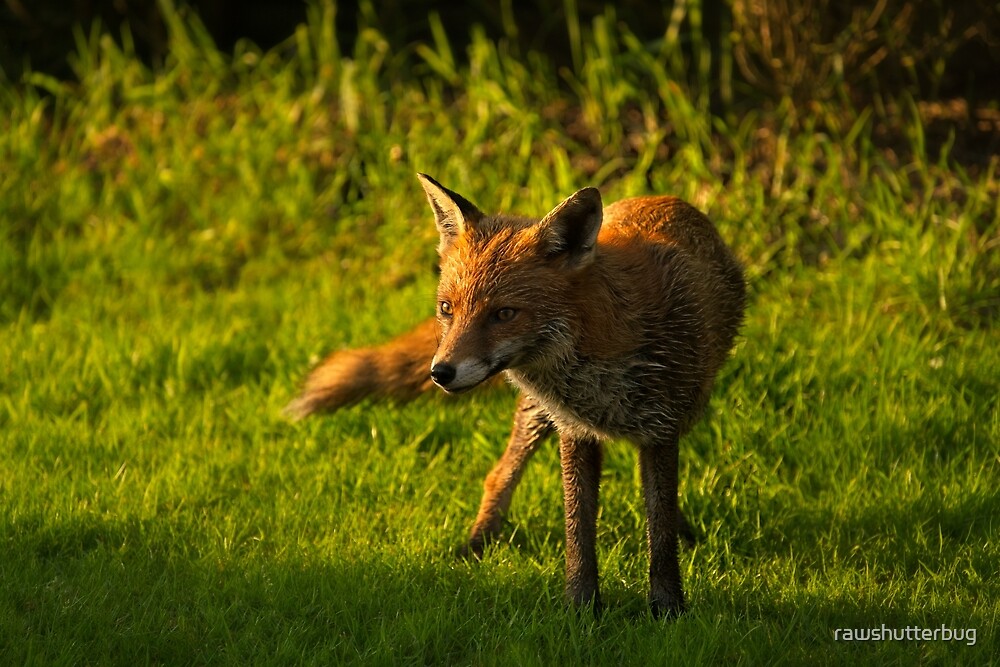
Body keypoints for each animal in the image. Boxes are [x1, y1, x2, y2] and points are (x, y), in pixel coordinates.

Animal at [287, 174, 746, 617]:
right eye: (447, 308)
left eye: (504, 314)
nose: (441, 373)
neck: (605, 344)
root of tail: (664, 198)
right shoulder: (574, 430)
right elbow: (578, 531)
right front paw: (581, 609)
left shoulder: (660, 430)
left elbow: (660, 526)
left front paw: (667, 608)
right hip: (536, 414)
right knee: (498, 473)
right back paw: (477, 544)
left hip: (681, 409)